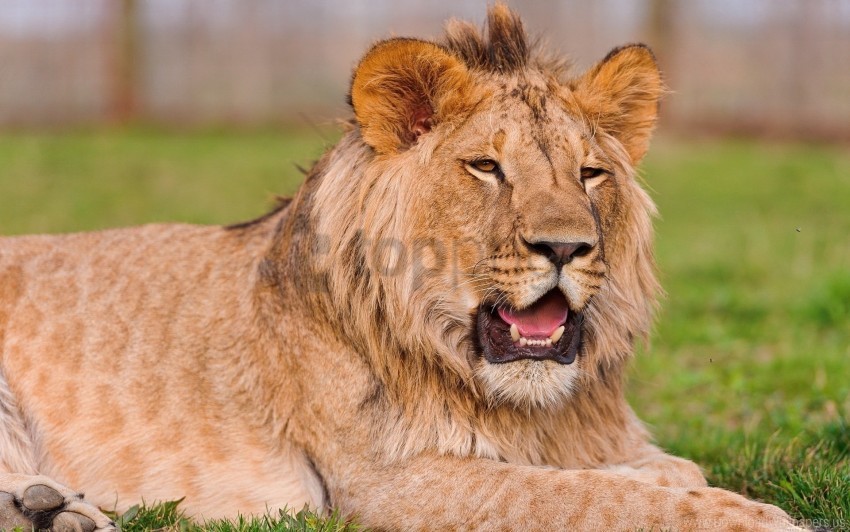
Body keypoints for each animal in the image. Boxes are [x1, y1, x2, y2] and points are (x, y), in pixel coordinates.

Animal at [0, 5, 801, 531]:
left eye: (591, 173)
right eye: (486, 167)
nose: (566, 247)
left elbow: (667, 473)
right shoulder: (387, 483)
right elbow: (592, 497)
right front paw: (764, 520)